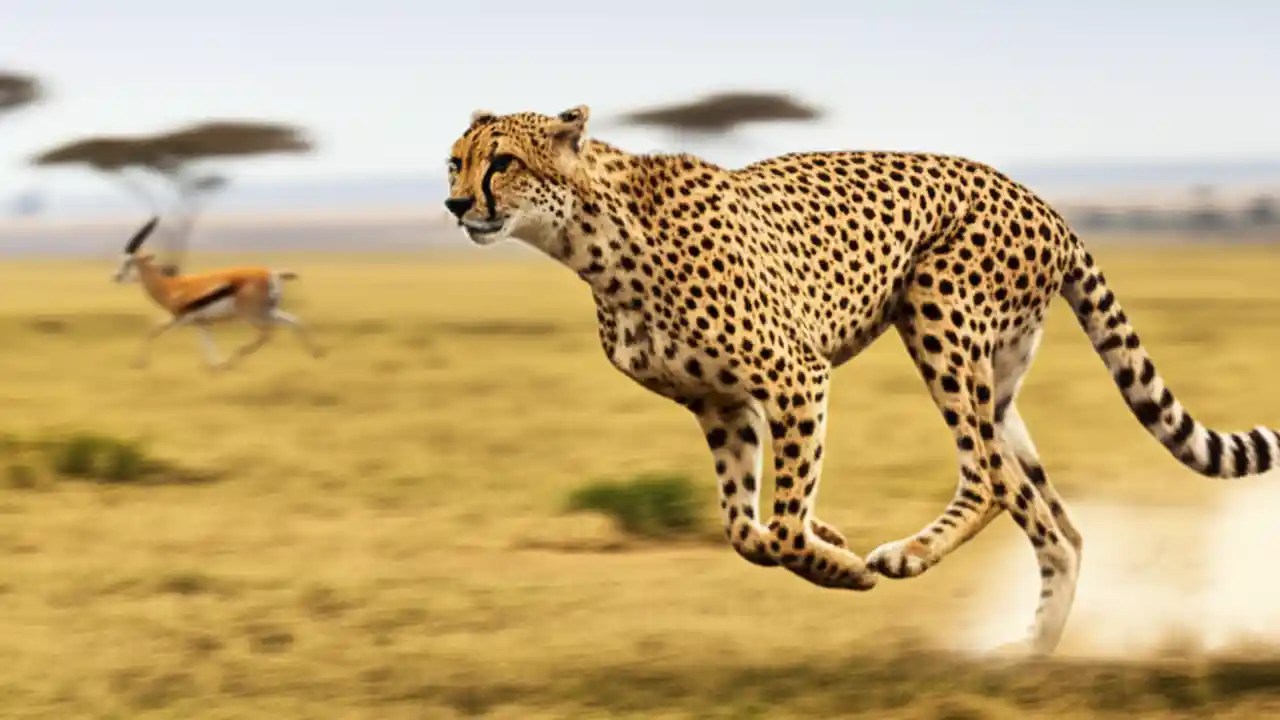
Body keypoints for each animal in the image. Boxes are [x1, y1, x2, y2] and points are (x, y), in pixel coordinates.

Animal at [113, 217, 326, 370]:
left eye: (129, 261)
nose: (115, 277)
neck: (172, 287)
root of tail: (272, 273)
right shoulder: (203, 323)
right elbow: (208, 346)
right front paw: (217, 366)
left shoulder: (180, 319)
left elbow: (153, 332)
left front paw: (139, 364)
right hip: (268, 311)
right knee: (293, 321)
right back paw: (317, 353)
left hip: (252, 315)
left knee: (268, 333)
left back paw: (236, 355)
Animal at [444, 105, 1279, 655]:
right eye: (455, 161)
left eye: (502, 162)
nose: (454, 203)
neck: (590, 238)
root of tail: (1040, 200)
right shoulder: (720, 405)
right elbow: (743, 530)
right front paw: (827, 538)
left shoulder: (793, 376)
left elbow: (780, 525)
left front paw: (840, 566)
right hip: (997, 380)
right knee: (1052, 520)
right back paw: (1033, 655)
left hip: (937, 311)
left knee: (986, 478)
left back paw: (907, 557)